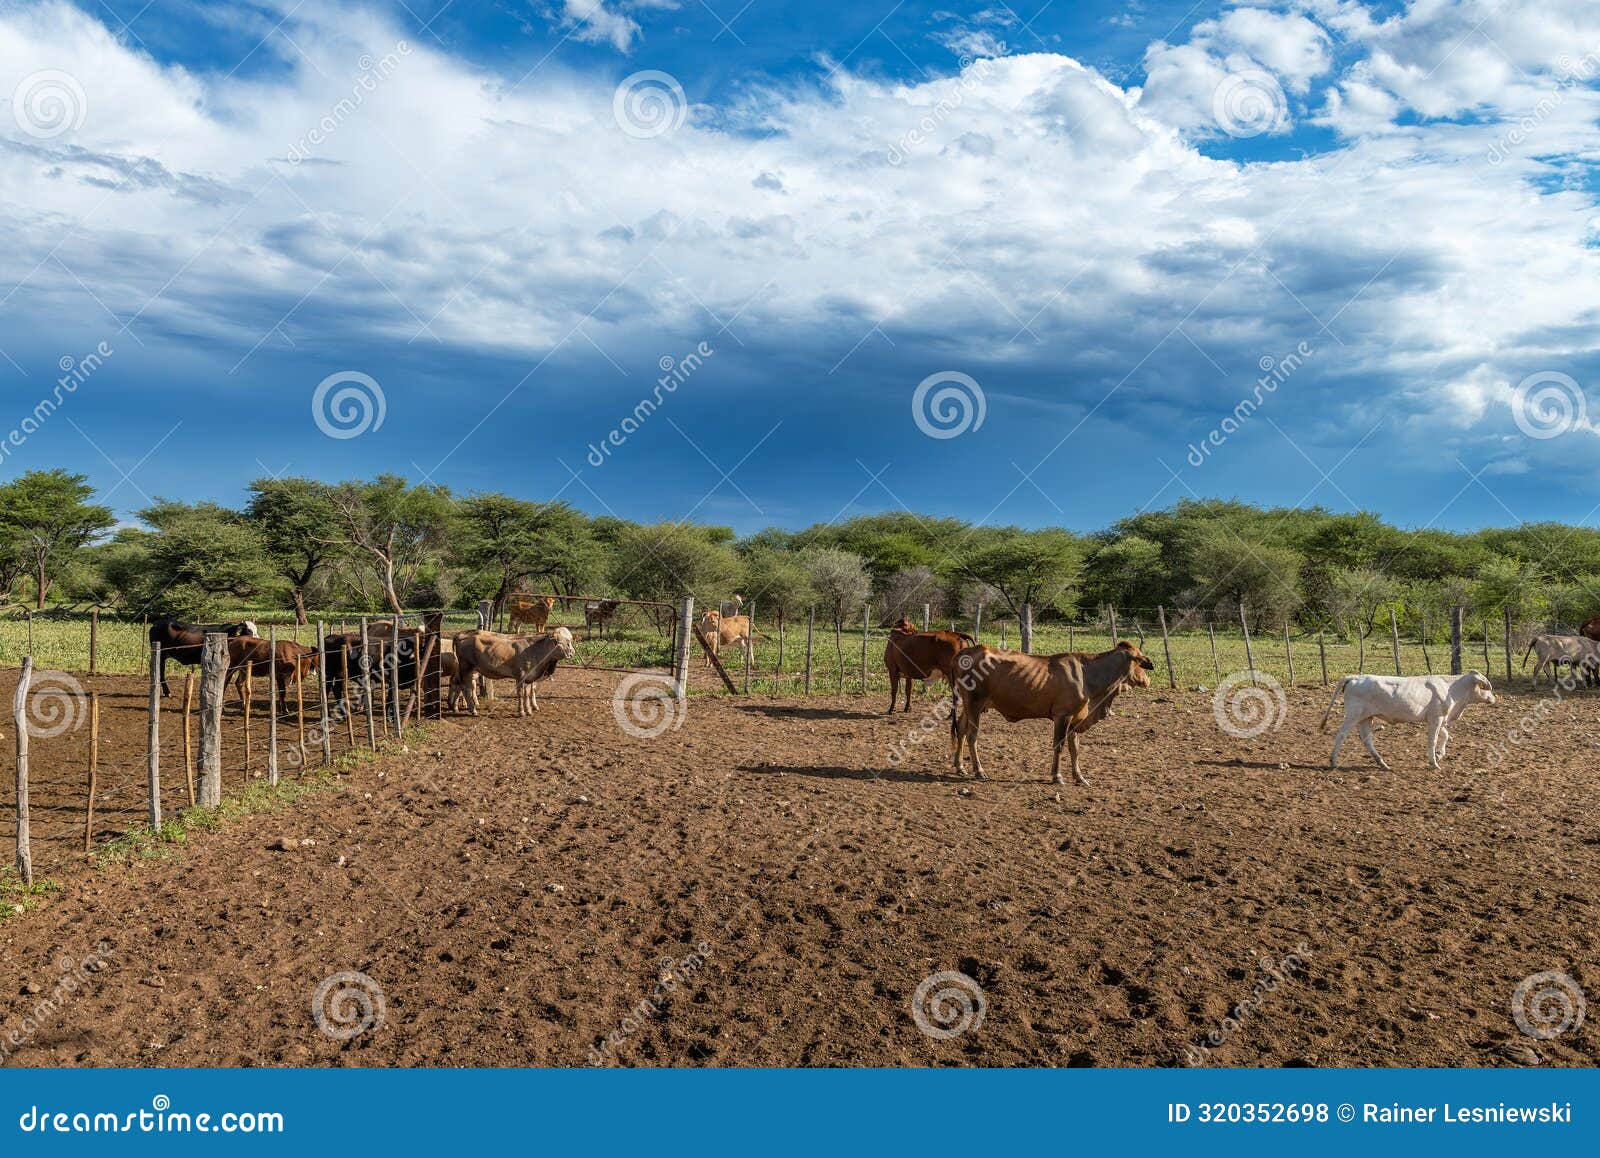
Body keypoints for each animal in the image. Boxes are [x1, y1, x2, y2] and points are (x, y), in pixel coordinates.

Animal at [950, 642, 1155, 785]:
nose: (1148, 680)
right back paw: (979, 770)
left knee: (961, 729)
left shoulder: (1075, 718)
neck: (1088, 675)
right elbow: (1059, 745)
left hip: (970, 706)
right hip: (974, 703)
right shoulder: (1063, 715)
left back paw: (960, 766)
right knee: (972, 735)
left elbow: (1075, 749)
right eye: (1140, 662)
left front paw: (1079, 777)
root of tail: (963, 653)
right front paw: (1057, 776)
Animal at [1320, 671, 1496, 771]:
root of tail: (1354, 677)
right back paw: (1333, 761)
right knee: (1341, 734)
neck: (1451, 688)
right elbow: (1433, 739)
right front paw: (1434, 762)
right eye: (1484, 687)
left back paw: (1382, 763)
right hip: (1353, 715)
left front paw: (1439, 754)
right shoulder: (1436, 718)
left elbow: (1445, 735)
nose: (1493, 698)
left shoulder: (1438, 718)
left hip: (1366, 717)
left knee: (1366, 739)